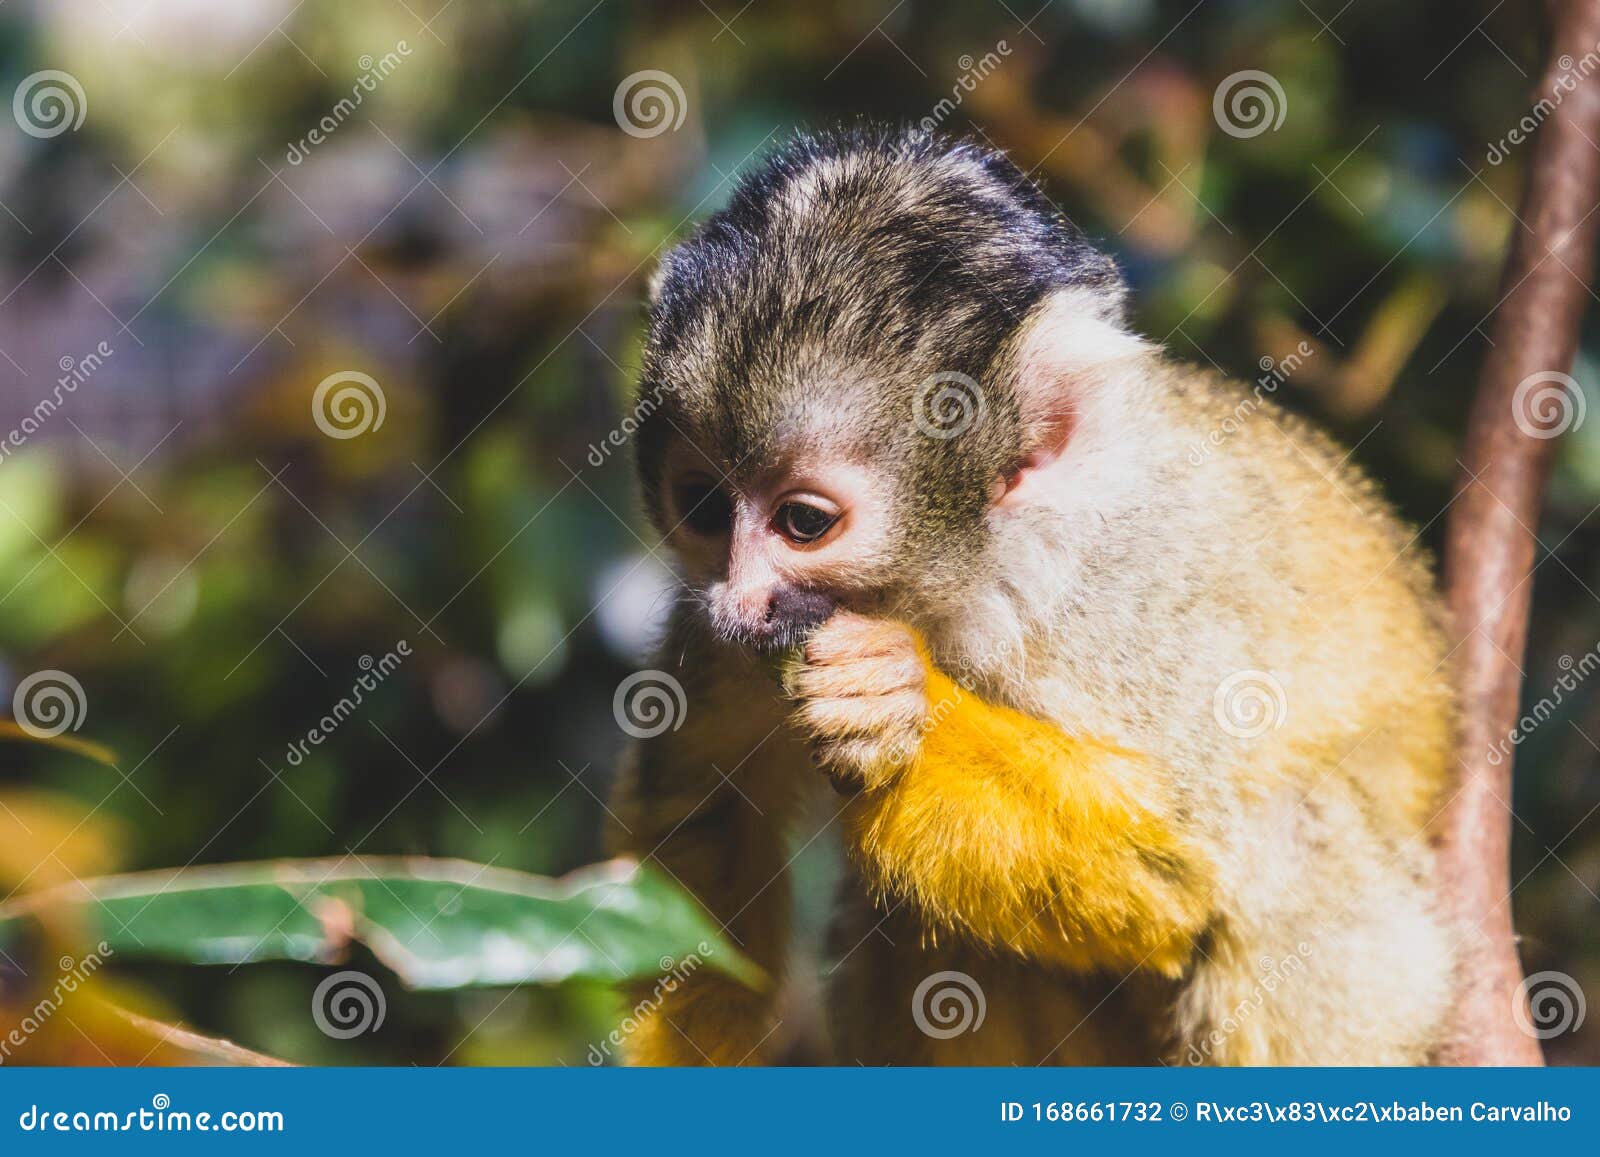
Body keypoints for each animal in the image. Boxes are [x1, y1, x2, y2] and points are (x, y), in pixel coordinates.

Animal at [604, 126, 1458, 1066]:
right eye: (706, 510)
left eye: (802, 522)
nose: (739, 602)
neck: (961, 580)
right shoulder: (728, 645)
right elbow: (699, 823)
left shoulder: (1121, 603)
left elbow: (1181, 866)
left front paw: (893, 698)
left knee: (1285, 833)